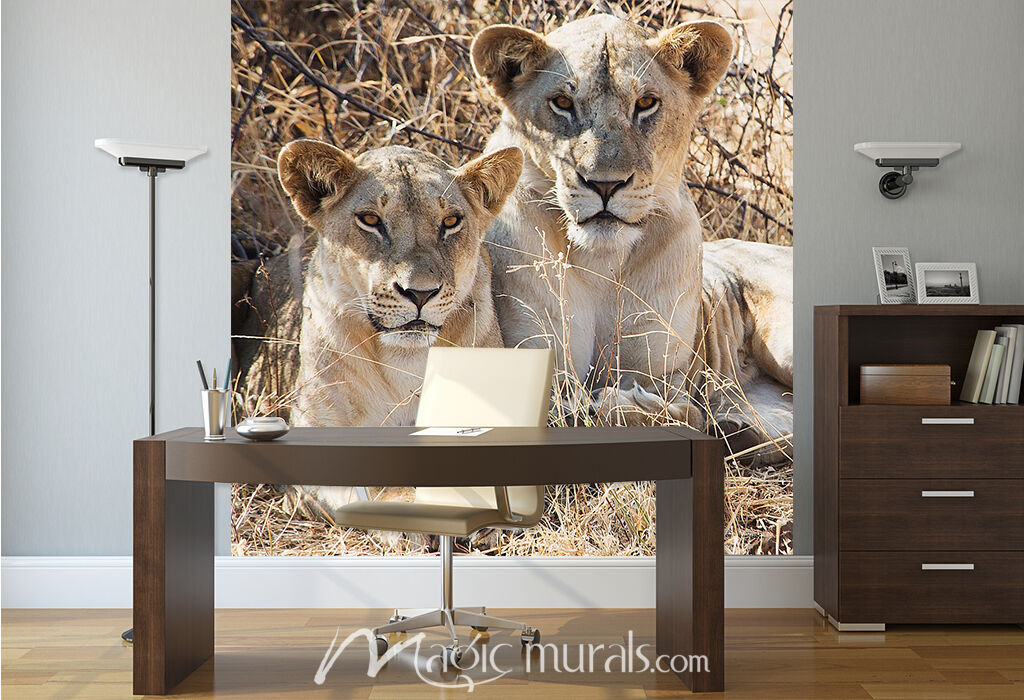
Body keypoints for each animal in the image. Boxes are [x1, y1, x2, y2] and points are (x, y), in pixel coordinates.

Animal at [470, 14, 792, 460]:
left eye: (646, 103)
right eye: (563, 103)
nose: (605, 185)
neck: (602, 262)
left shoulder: (662, 373)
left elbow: (679, 414)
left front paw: (612, 405)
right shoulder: (531, 355)